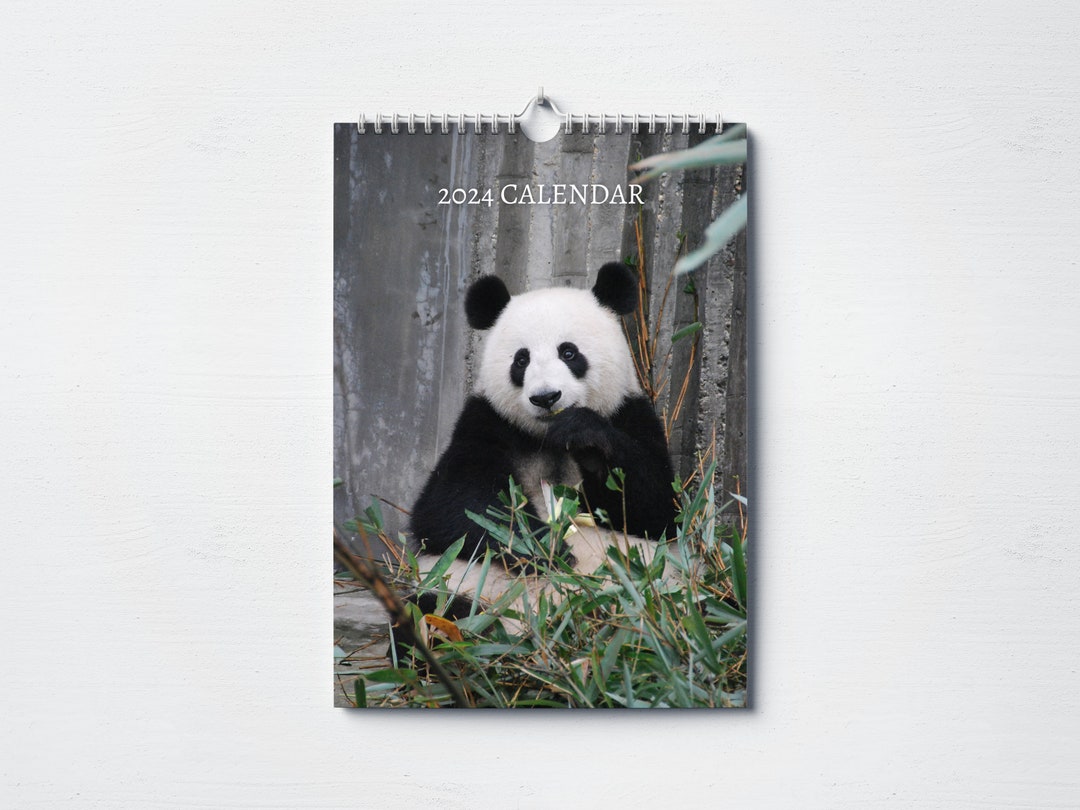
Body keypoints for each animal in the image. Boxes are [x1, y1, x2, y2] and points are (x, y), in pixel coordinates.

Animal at [408, 262, 676, 612]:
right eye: (521, 360)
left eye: (569, 353)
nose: (546, 397)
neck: (547, 436)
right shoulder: (486, 423)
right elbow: (453, 507)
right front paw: (547, 548)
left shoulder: (629, 412)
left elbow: (658, 508)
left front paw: (584, 436)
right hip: (455, 585)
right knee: (434, 608)